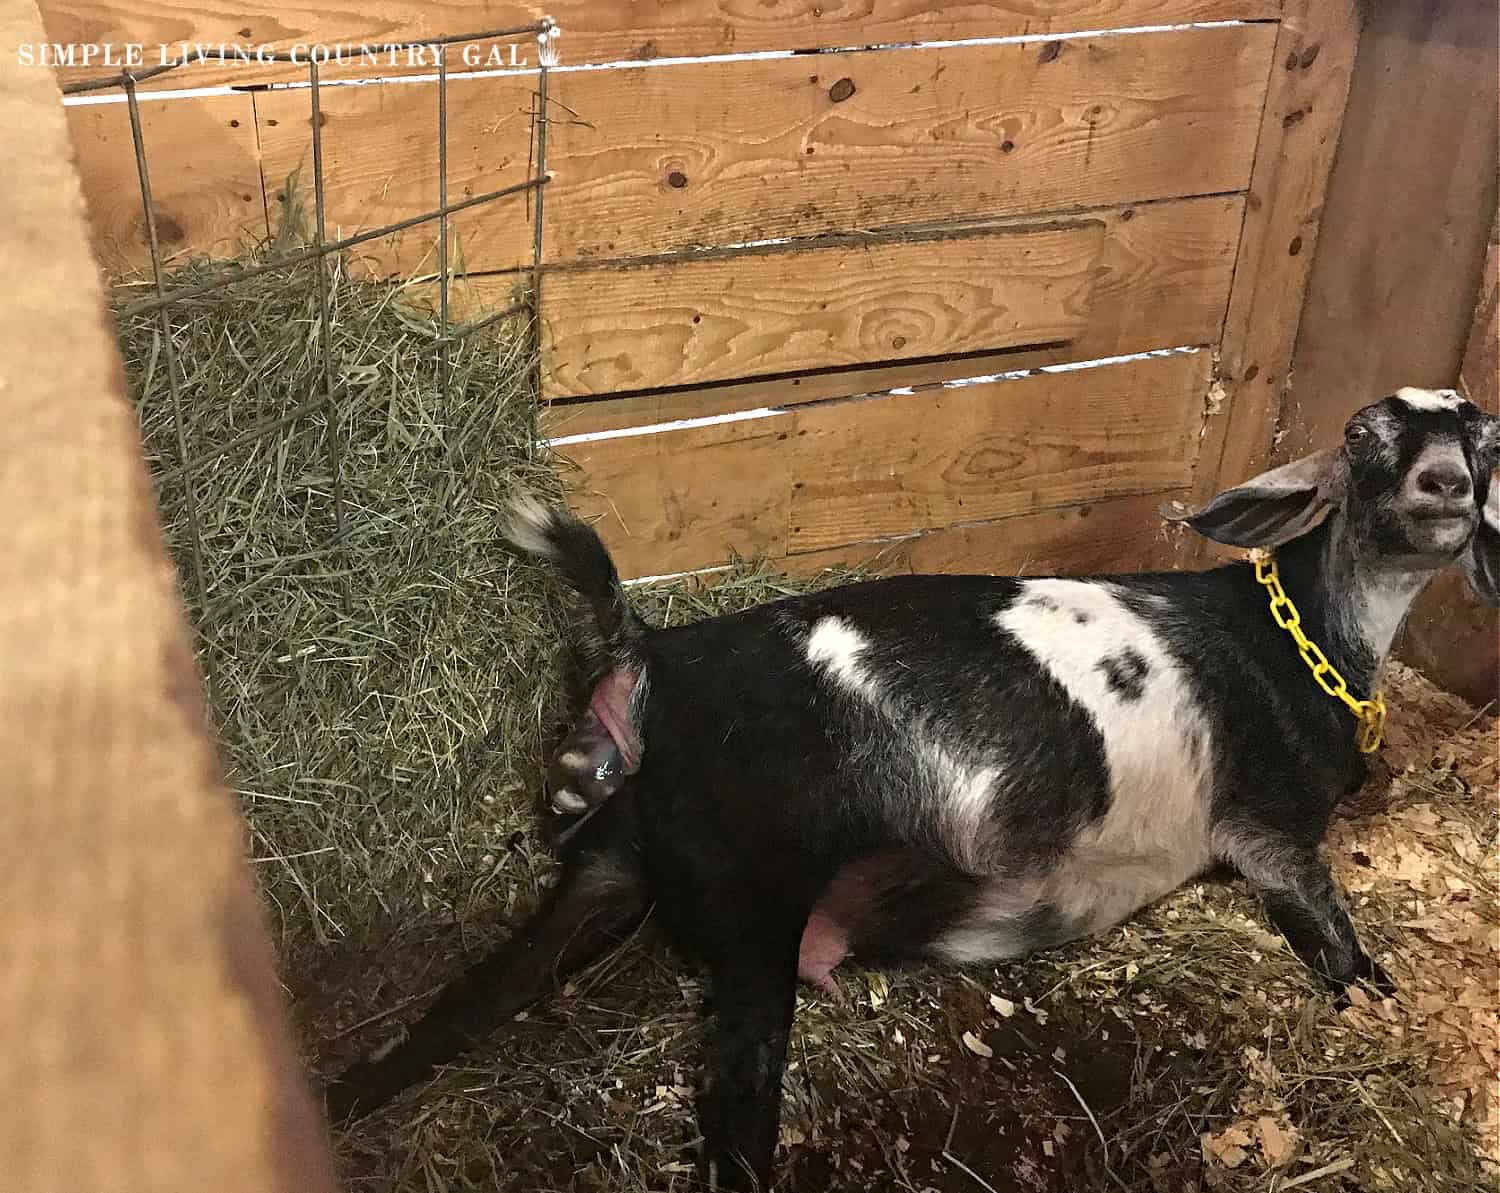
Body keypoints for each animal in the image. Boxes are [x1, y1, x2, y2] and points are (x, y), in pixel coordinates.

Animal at [324, 388, 1499, 1190]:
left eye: (1483, 435)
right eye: (1363, 433)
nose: (1443, 481)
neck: (1307, 637)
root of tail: (655, 661)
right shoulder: (1270, 822)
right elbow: (1336, 939)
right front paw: (1383, 1001)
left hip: (617, 864)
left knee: (454, 1010)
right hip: (753, 885)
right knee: (737, 1113)